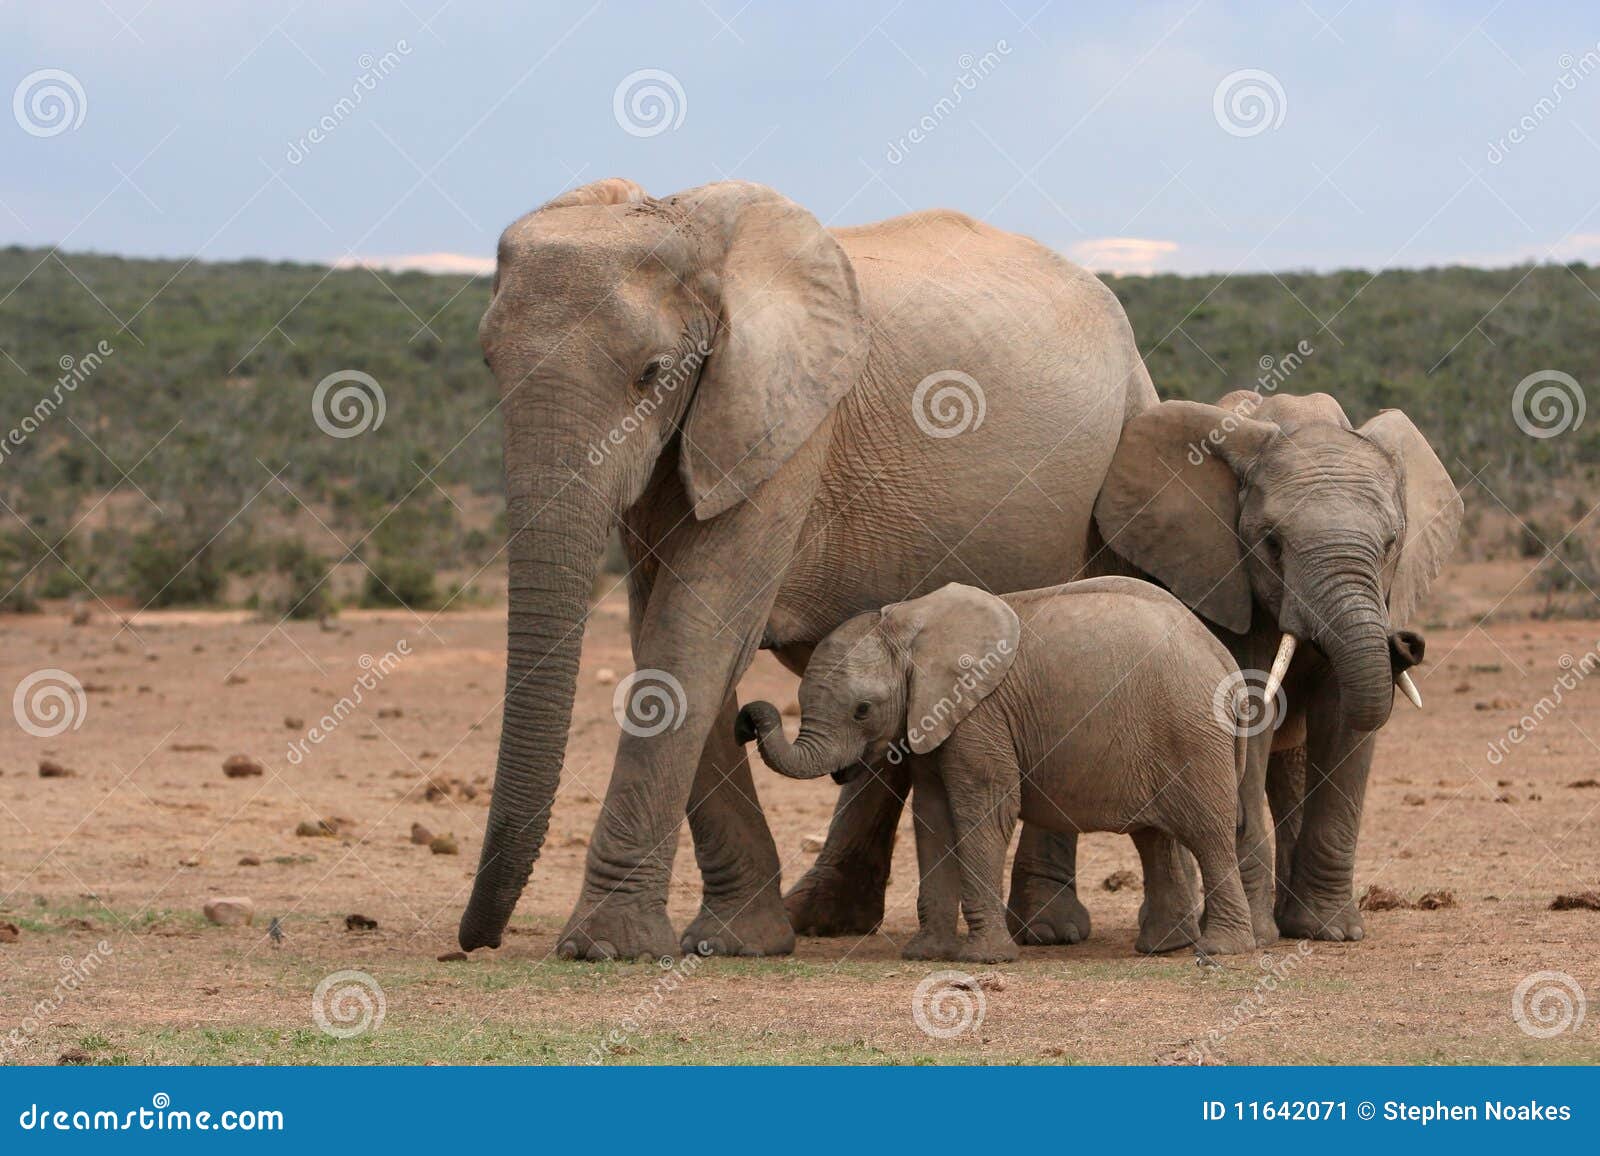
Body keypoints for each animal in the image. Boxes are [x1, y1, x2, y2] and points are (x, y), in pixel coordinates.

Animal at [459, 176, 1159, 958]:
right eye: (487, 363)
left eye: (651, 374)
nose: (476, 942)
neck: (697, 235)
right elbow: (666, 635)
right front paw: (739, 942)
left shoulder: (789, 428)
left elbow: (693, 635)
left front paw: (607, 947)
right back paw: (824, 917)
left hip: (1128, 432)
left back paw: (1044, 931)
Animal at [737, 580, 1257, 962]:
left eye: (863, 710)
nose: (745, 719)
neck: (908, 626)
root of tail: (1221, 657)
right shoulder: (934, 718)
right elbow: (933, 818)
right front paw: (926, 955)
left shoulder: (979, 716)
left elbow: (985, 811)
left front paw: (985, 959)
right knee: (1154, 837)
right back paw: (1162, 948)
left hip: (1190, 731)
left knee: (1207, 833)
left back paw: (1220, 950)